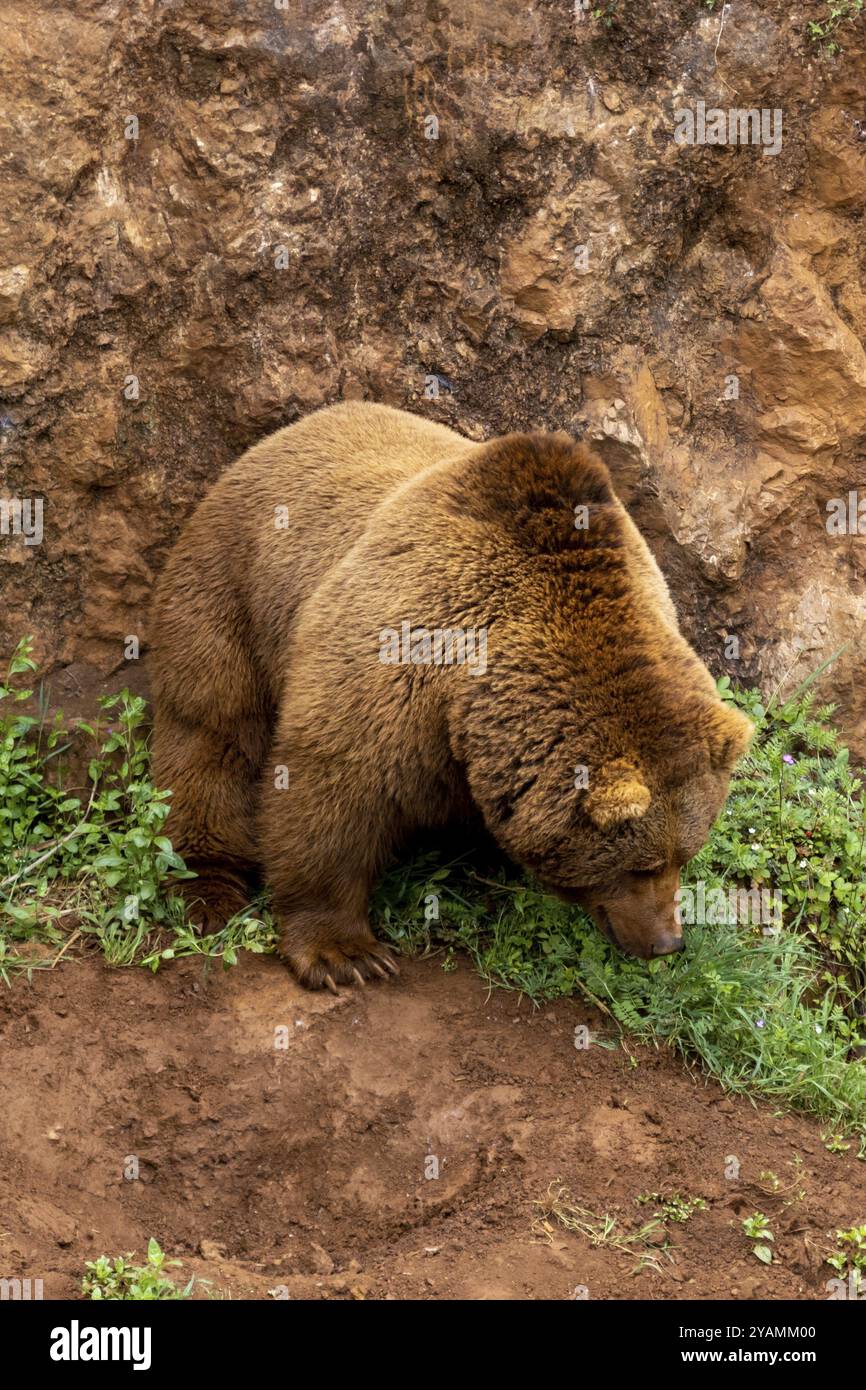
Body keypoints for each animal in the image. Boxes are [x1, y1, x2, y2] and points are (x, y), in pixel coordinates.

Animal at [149, 401, 753, 990]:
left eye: (685, 853)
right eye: (639, 866)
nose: (666, 942)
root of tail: (285, 433)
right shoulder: (401, 660)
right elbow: (331, 789)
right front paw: (344, 953)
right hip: (235, 586)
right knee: (212, 734)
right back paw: (205, 886)